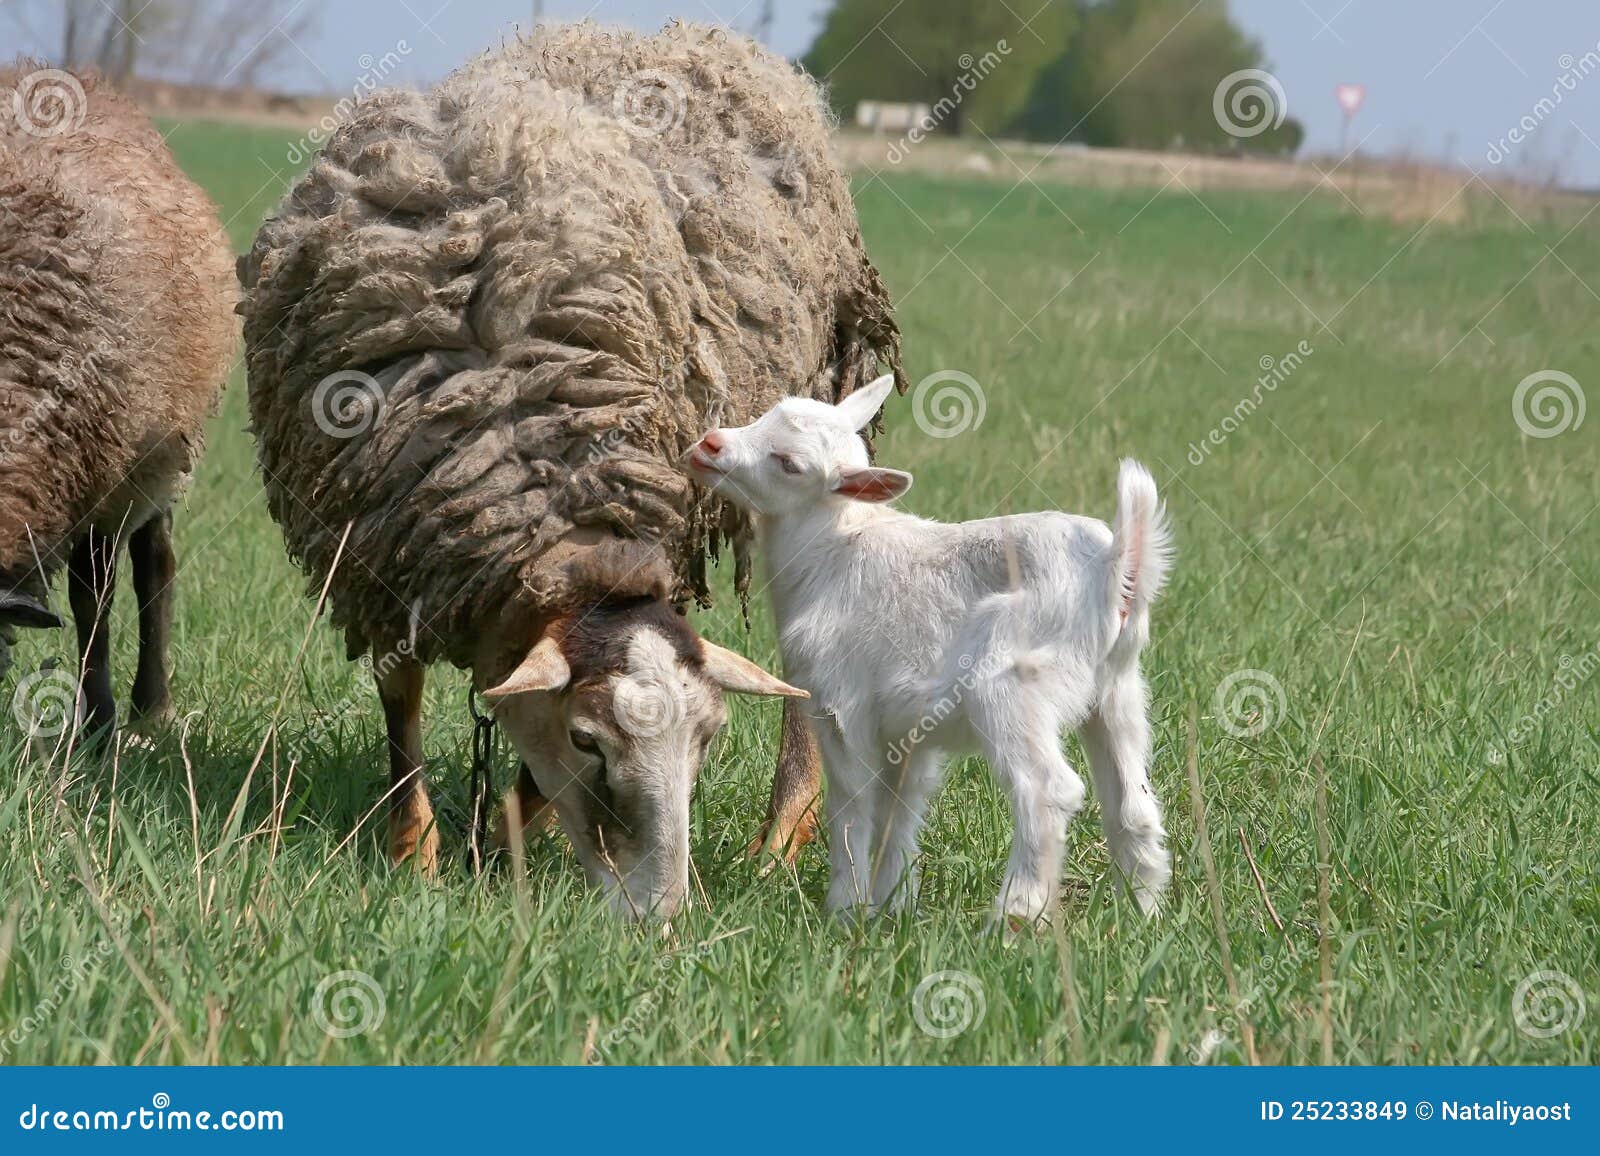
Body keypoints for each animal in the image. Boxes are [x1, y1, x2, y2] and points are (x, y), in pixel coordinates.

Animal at [0, 64, 237, 735]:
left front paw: (99, 720)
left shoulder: (102, 479)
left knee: (155, 567)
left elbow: (93, 598)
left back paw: (151, 708)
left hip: (160, 459)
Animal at [236, 23, 902, 917]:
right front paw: (416, 852)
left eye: (708, 738)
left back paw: (777, 841)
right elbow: (401, 698)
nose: (662, 913)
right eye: (589, 739)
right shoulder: (381, 544)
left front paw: (503, 840)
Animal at [687, 375, 1173, 927]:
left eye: (789, 463)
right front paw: (891, 908)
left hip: (1012, 685)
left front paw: (844, 912)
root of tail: (1117, 569)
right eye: (770, 412)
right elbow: (898, 809)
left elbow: (852, 804)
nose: (710, 445)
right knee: (1132, 802)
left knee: (1048, 789)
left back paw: (1014, 921)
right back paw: (1140, 917)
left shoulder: (841, 705)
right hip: (1117, 690)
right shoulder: (906, 730)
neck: (834, 550)